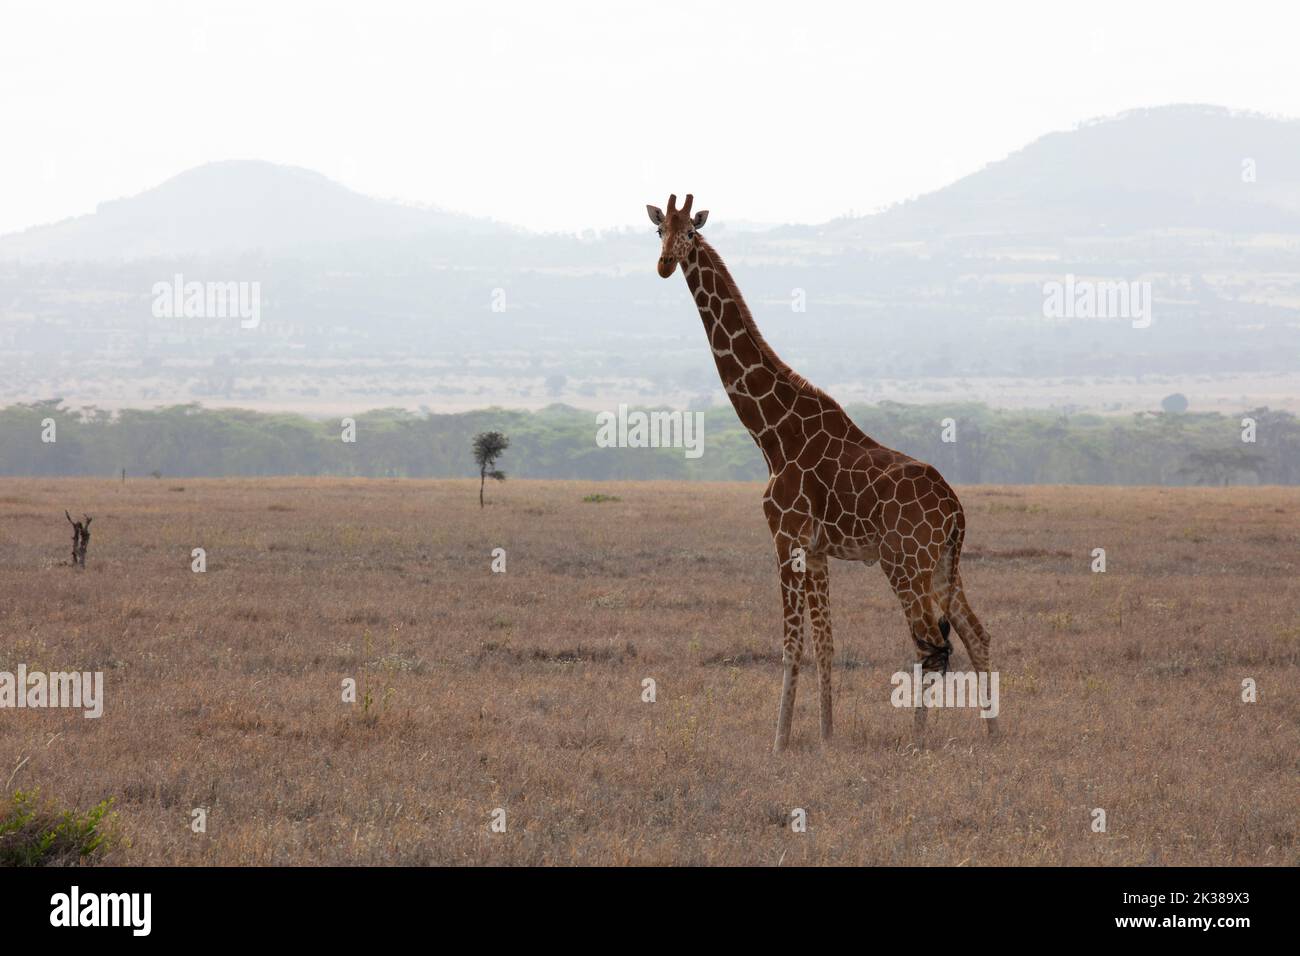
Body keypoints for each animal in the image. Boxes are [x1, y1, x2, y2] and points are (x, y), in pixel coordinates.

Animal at [647, 193, 997, 752]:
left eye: (691, 235)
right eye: (660, 231)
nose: (663, 264)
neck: (772, 433)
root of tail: (957, 511)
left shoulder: (785, 536)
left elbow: (792, 645)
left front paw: (779, 743)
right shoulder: (816, 549)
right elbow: (826, 644)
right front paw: (828, 736)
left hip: (904, 562)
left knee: (931, 643)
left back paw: (919, 738)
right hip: (944, 562)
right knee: (973, 635)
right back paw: (993, 735)